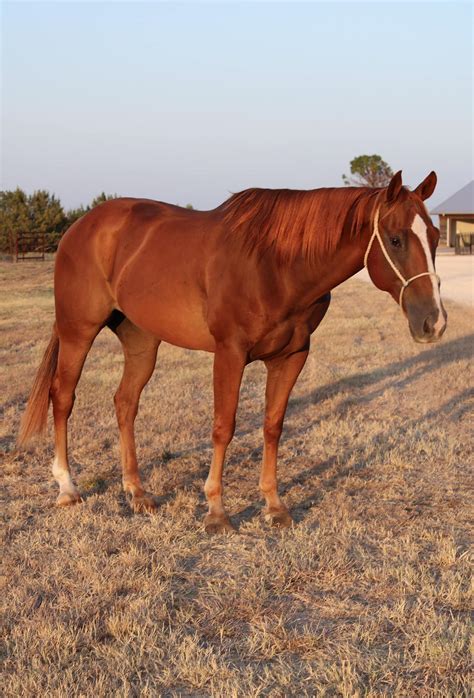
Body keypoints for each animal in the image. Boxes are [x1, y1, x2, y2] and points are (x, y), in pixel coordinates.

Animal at [19, 170, 446, 533]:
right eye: (395, 239)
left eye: (436, 235)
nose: (434, 322)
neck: (277, 264)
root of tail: (80, 228)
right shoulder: (230, 353)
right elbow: (224, 427)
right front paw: (216, 512)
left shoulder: (292, 356)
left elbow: (273, 426)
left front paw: (274, 506)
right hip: (78, 331)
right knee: (63, 397)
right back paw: (67, 488)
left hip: (141, 339)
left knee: (125, 403)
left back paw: (136, 492)